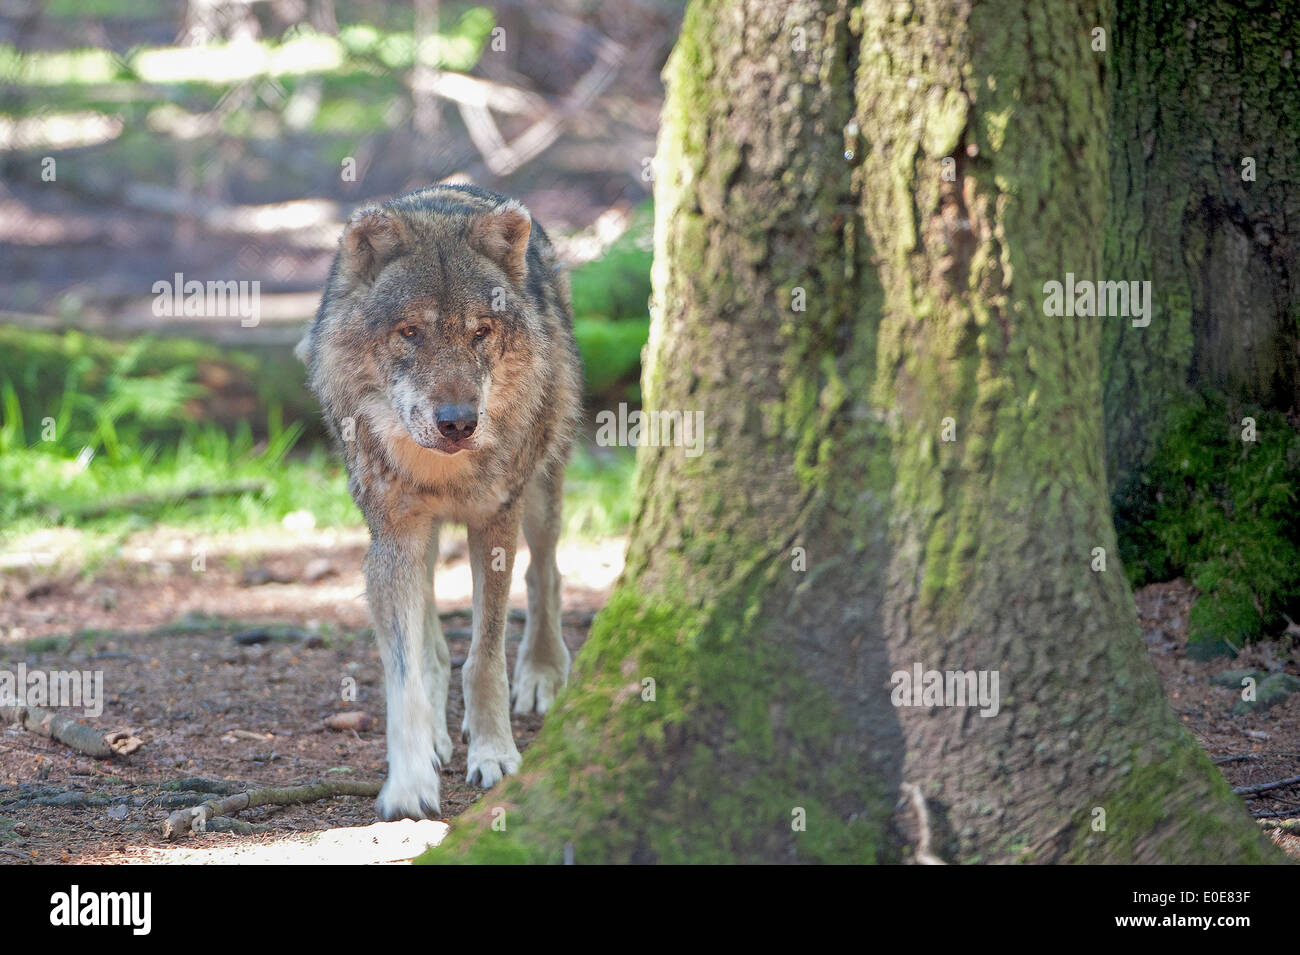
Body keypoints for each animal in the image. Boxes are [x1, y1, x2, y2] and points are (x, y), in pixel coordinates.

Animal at [296, 184, 581, 820]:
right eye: (410, 333)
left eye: (480, 332)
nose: (458, 423)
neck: (440, 470)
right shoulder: (395, 536)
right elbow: (405, 674)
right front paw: (410, 781)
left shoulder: (495, 522)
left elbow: (484, 657)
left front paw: (494, 753)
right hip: (417, 541)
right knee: (427, 633)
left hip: (540, 493)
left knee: (546, 572)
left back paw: (542, 672)